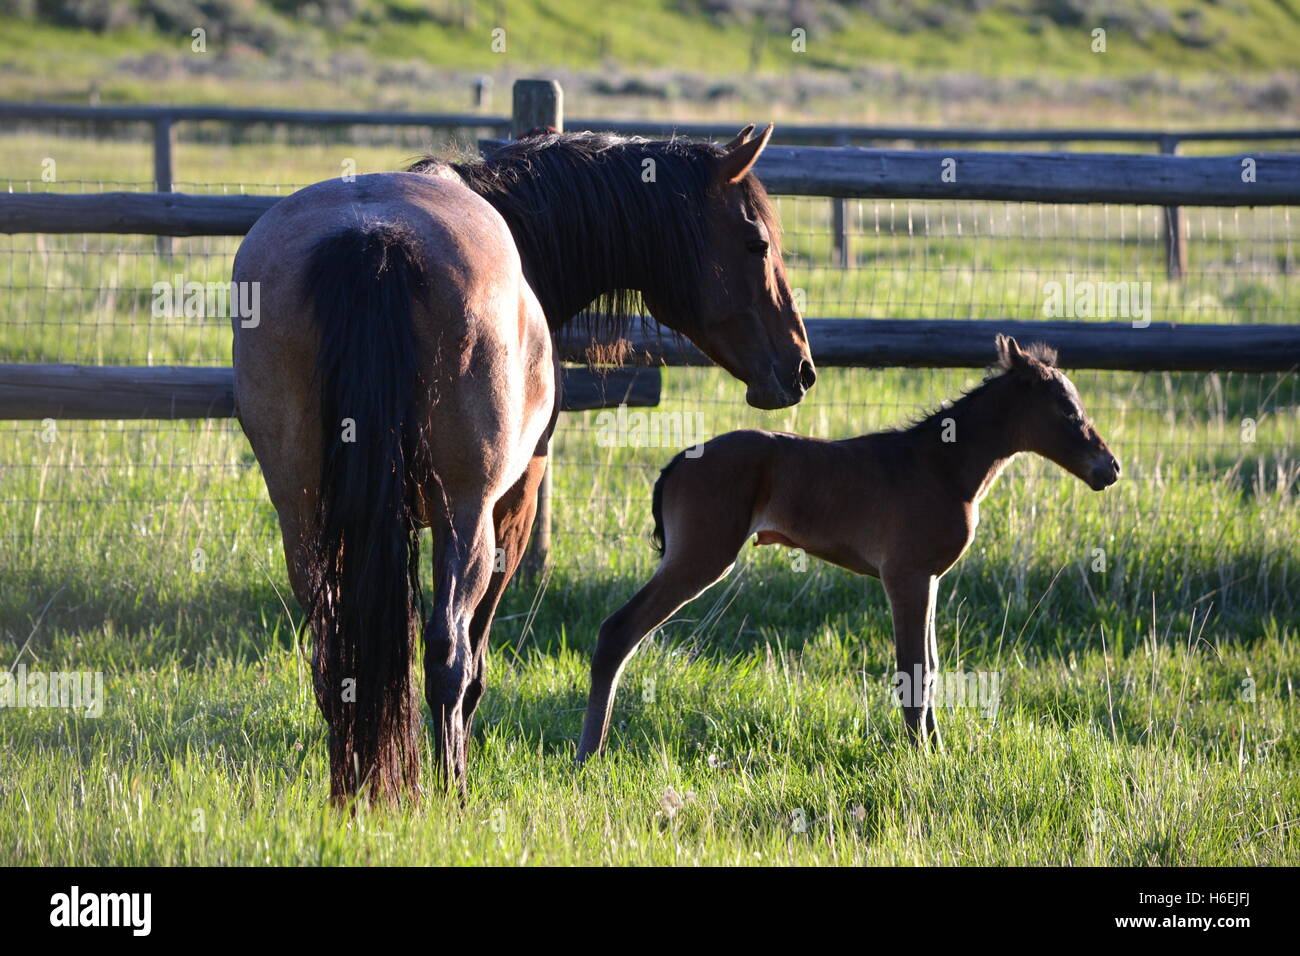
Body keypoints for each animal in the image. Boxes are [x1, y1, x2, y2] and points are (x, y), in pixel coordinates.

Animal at [230, 124, 815, 803]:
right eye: (757, 243)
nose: (801, 368)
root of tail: (373, 236)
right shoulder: (513, 505)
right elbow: (474, 663)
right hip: (466, 516)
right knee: (447, 654)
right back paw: (450, 793)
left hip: (302, 517)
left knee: (333, 657)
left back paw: (352, 791)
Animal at [576, 335, 1120, 761]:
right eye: (1068, 410)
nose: (1110, 468)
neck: (943, 467)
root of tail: (674, 464)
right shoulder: (905, 575)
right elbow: (912, 670)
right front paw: (921, 759)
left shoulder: (929, 579)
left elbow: (932, 668)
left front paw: (939, 751)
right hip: (700, 557)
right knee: (618, 630)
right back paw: (589, 755)